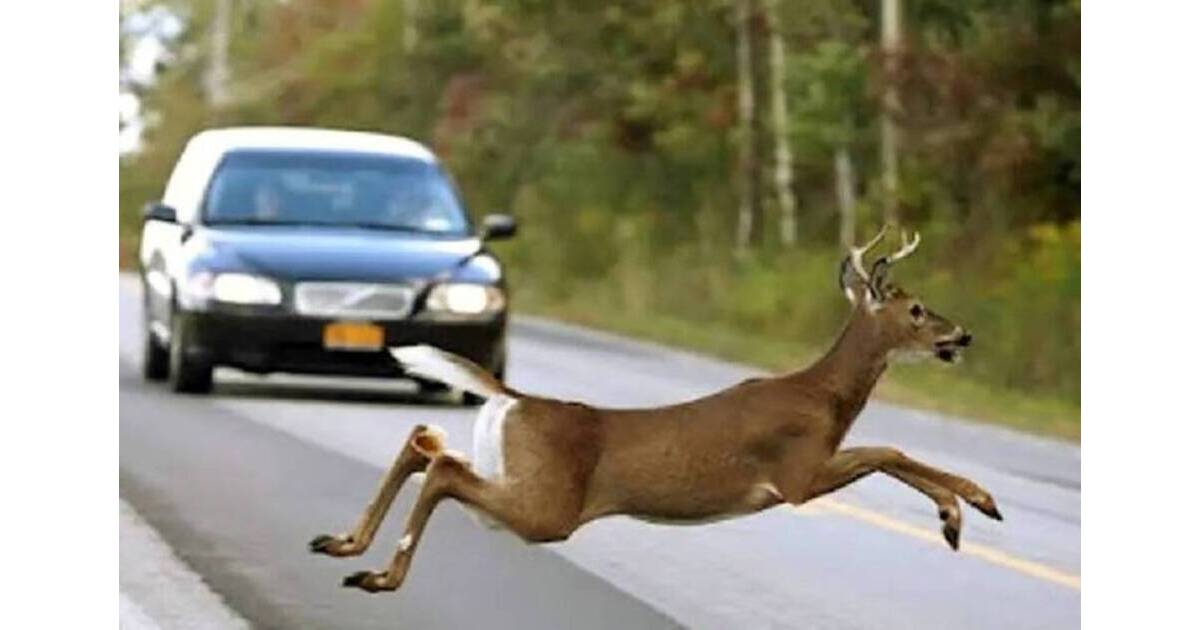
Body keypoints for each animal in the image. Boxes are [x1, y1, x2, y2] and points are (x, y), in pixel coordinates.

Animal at [309, 226, 1002, 594]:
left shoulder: (805, 472)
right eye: (916, 310)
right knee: (444, 469)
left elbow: (890, 452)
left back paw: (343, 545)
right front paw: (967, 508)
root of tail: (517, 399)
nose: (963, 335)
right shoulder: (797, 474)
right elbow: (889, 449)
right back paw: (379, 575)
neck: (824, 397)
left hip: (518, 478)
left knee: (426, 442)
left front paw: (962, 512)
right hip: (548, 507)